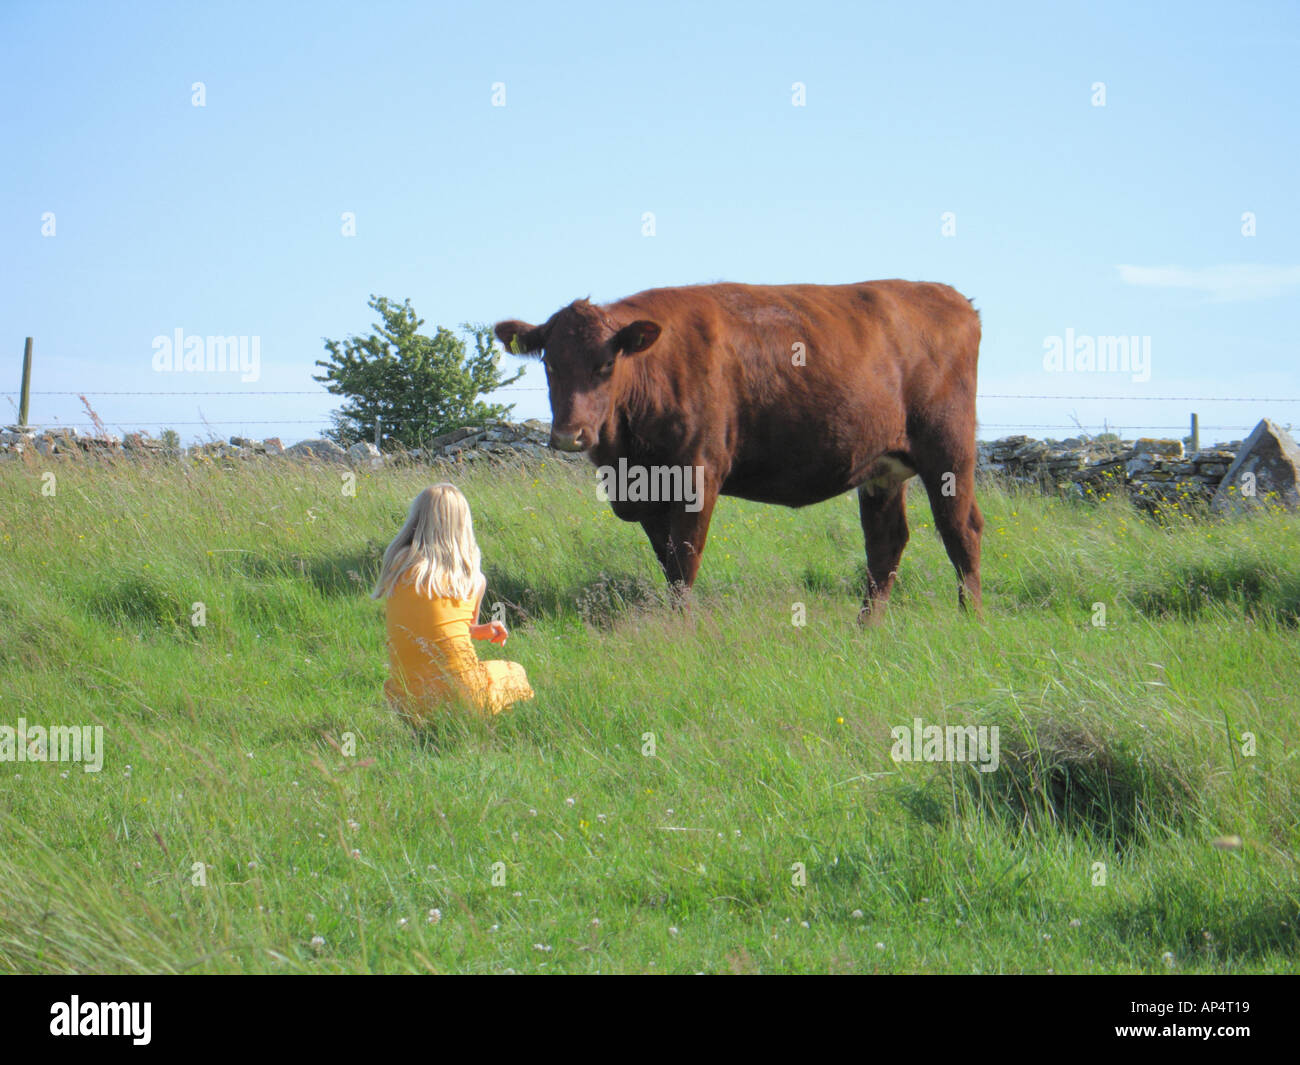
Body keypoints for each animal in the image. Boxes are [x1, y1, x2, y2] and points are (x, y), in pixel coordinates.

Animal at [494, 280, 983, 620]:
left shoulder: (697, 475)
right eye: (549, 363)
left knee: (961, 531)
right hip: (882, 468)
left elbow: (684, 561)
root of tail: (951, 296)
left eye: (607, 363)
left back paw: (970, 620)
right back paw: (866, 628)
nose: (568, 435)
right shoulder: (648, 494)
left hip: (948, 452)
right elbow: (667, 563)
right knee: (886, 542)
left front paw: (682, 628)